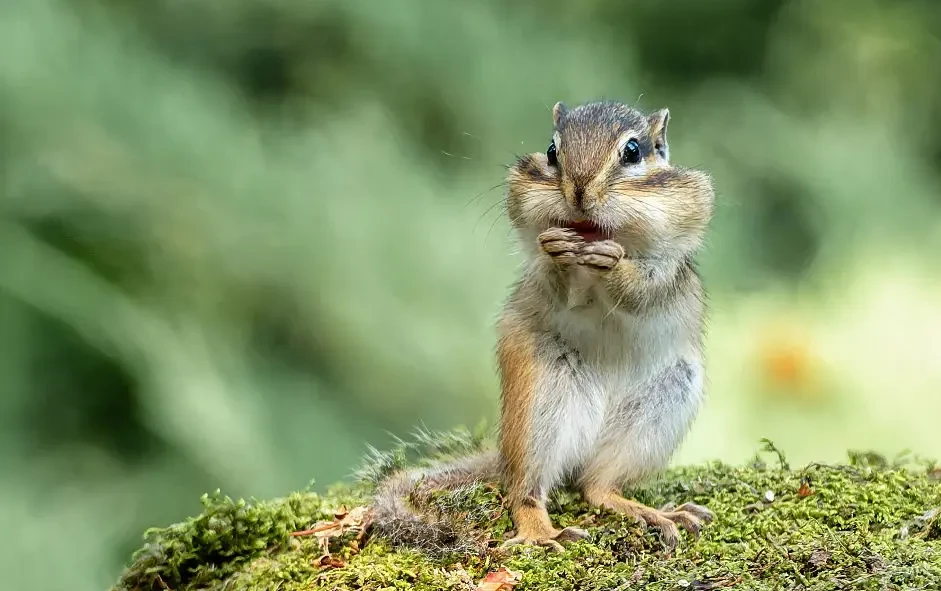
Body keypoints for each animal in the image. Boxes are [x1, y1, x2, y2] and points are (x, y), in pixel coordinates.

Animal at [371, 100, 716, 555]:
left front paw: (615, 265)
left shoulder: (669, 265)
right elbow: (552, 277)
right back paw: (540, 531)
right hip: (540, 396)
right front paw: (557, 252)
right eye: (552, 152)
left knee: (596, 486)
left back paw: (650, 512)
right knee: (524, 490)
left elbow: (644, 289)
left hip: (668, 396)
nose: (579, 191)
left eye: (632, 152)